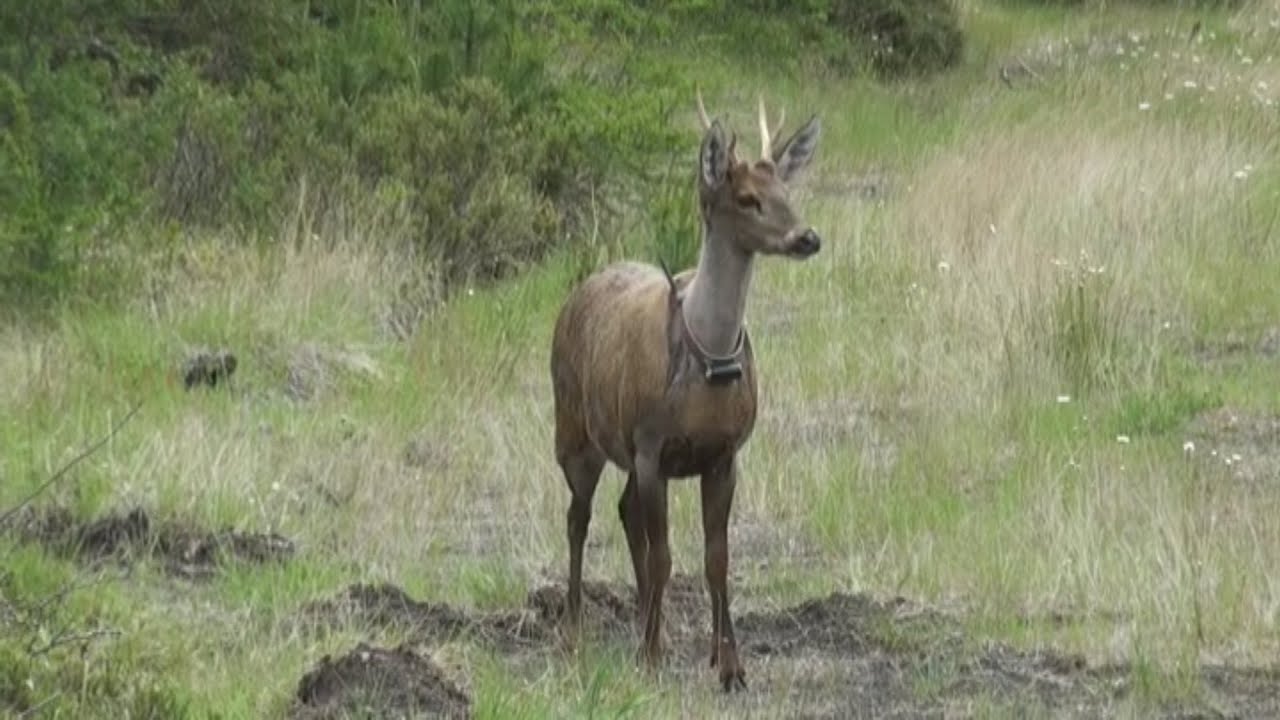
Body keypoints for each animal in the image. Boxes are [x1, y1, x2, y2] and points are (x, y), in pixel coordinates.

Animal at [548, 89, 822, 691]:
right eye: (745, 197)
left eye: (785, 193)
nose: (807, 237)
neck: (707, 360)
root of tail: (581, 287)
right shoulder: (652, 445)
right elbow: (665, 555)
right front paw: (650, 660)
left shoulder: (722, 454)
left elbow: (716, 557)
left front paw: (729, 666)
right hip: (575, 433)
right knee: (579, 518)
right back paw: (576, 635)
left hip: (626, 452)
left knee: (624, 513)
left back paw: (656, 631)